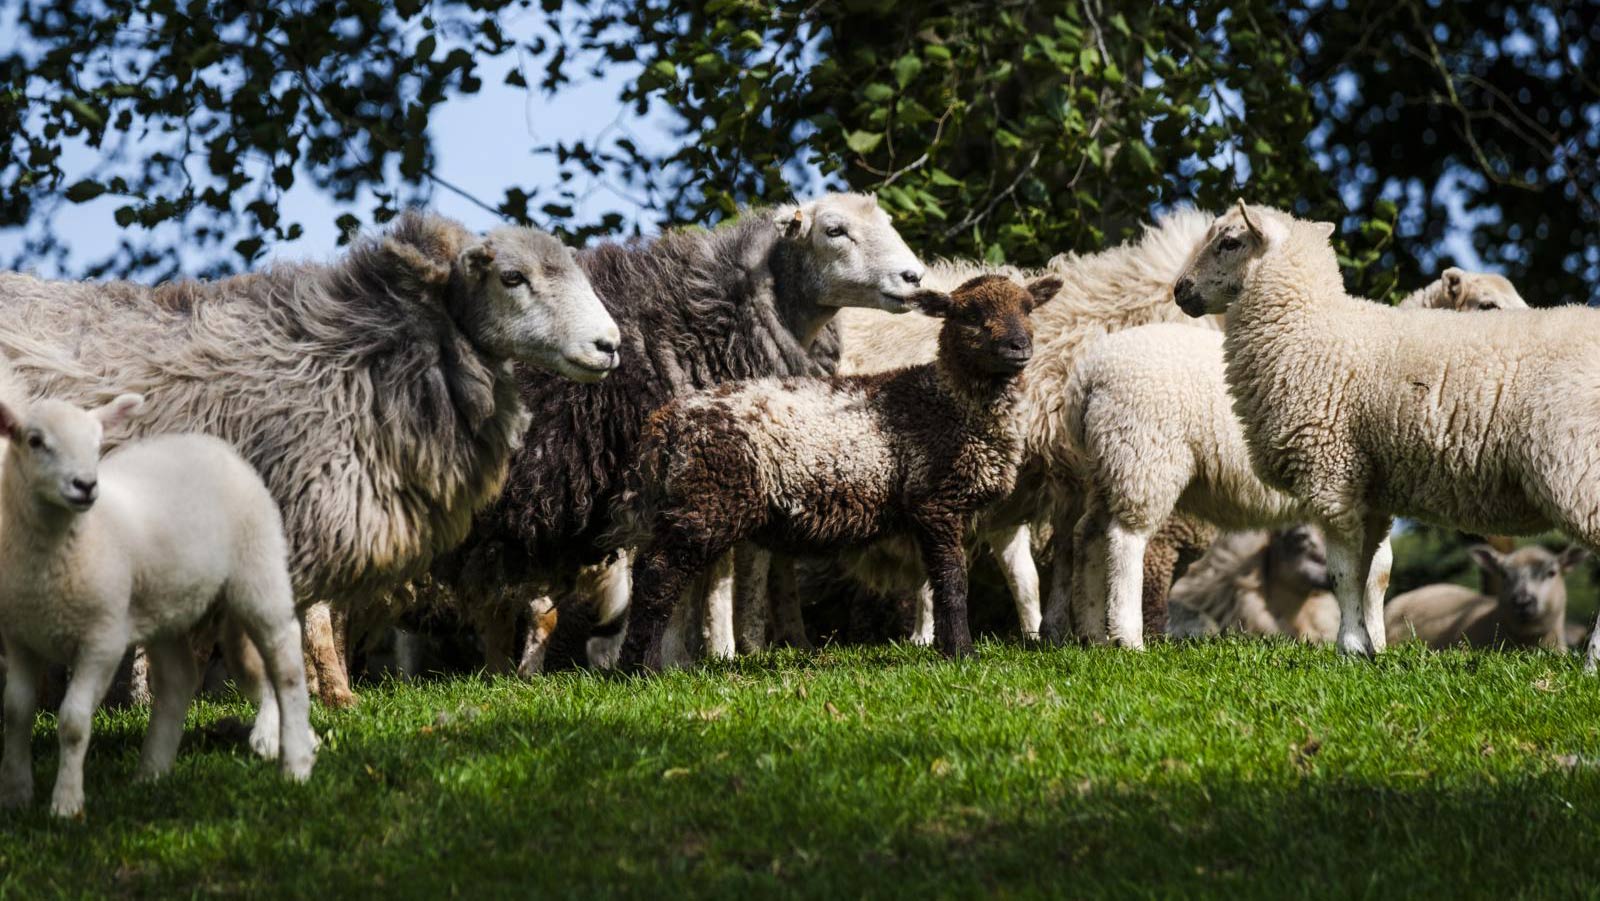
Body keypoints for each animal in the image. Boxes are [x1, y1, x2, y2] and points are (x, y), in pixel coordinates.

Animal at [0, 394, 313, 818]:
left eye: (97, 445)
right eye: (34, 441)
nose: (86, 486)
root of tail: (212, 444)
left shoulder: (103, 639)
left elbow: (73, 722)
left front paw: (66, 804)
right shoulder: (19, 639)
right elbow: (16, 714)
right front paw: (15, 797)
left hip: (258, 567)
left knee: (286, 661)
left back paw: (295, 764)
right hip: (166, 606)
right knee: (179, 678)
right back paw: (152, 772)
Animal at [426, 192, 930, 670]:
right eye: (834, 230)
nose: (914, 277)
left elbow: (722, 570)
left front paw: (712, 651)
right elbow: (700, 571)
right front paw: (691, 654)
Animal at [614, 273, 1062, 669]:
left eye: (1027, 308)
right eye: (969, 314)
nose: (1018, 346)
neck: (950, 400)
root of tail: (666, 423)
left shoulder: (937, 511)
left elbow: (936, 583)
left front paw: (944, 649)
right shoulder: (936, 501)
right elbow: (952, 582)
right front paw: (963, 654)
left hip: (687, 503)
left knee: (649, 569)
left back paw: (637, 663)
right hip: (709, 501)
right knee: (658, 575)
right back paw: (643, 669)